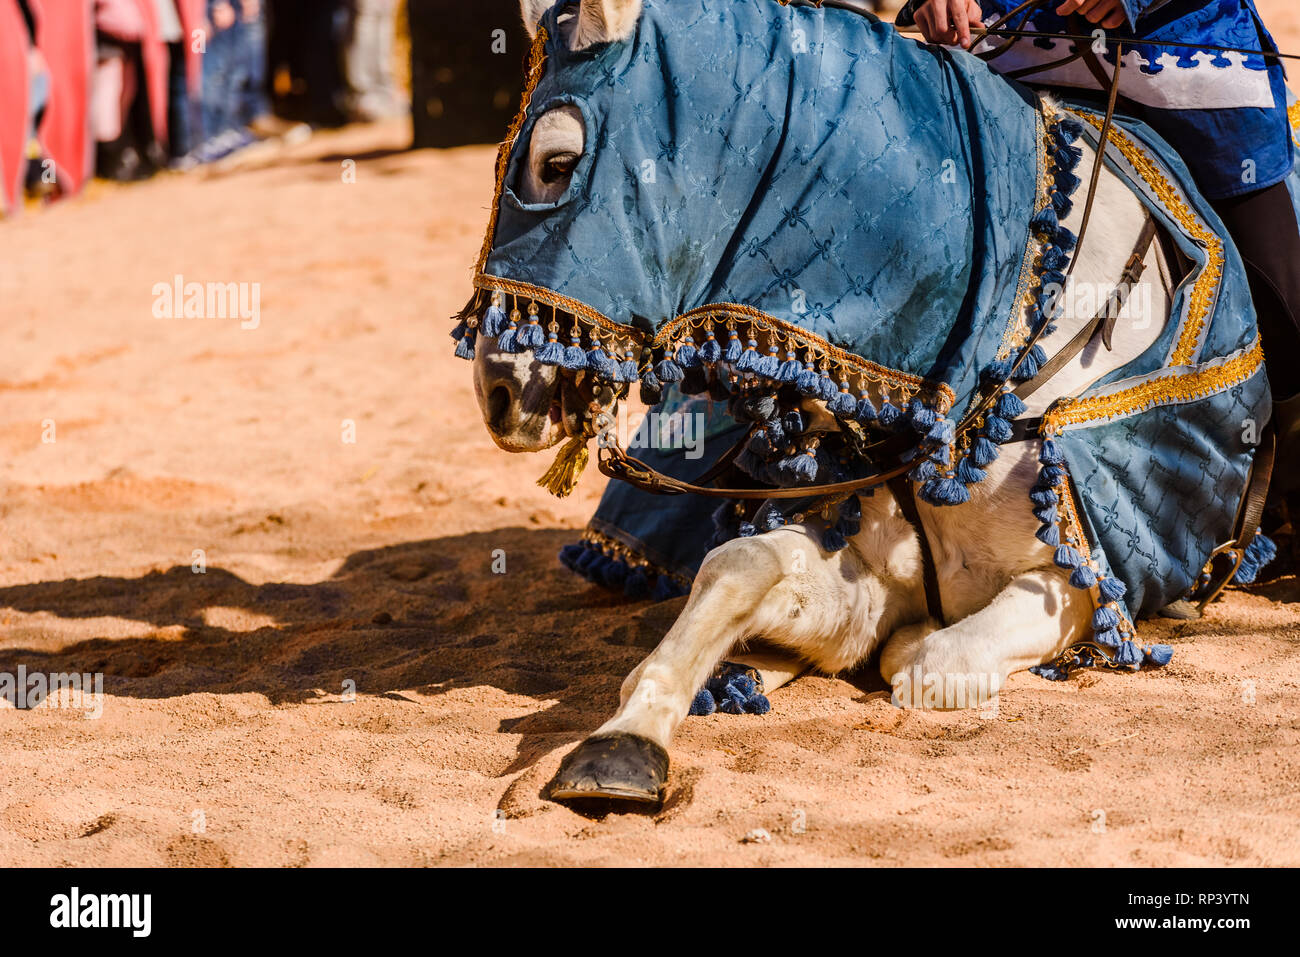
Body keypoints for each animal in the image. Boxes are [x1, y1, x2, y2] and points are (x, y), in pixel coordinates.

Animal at [456, 0, 1272, 804]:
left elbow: (929, 659)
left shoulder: (1088, 584)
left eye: (556, 165)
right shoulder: (862, 568)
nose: (498, 390)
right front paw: (628, 740)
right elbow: (739, 565)